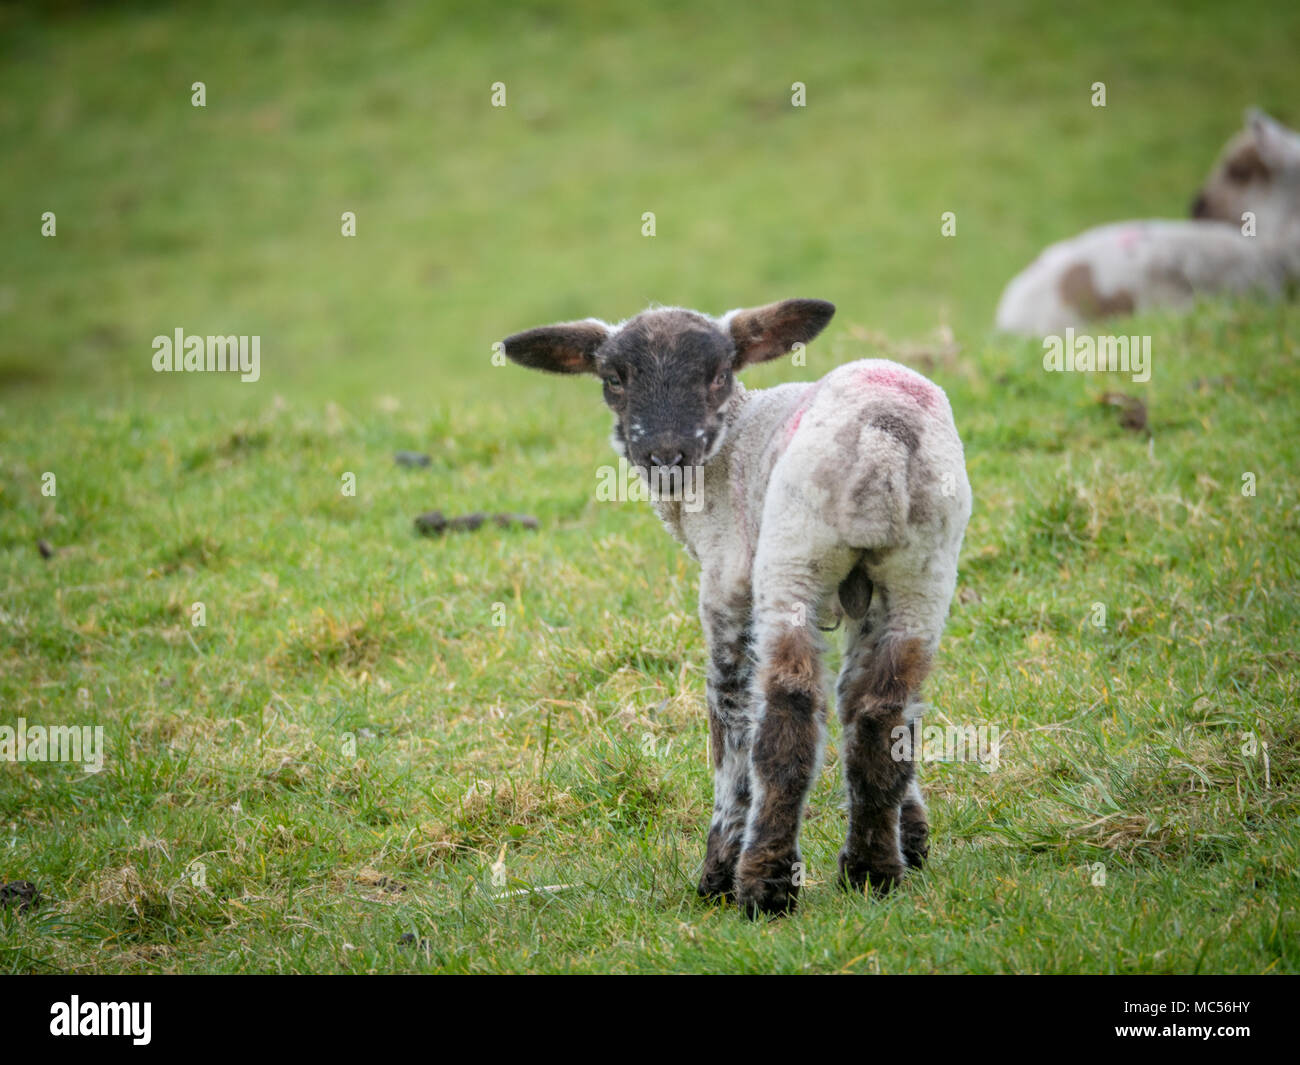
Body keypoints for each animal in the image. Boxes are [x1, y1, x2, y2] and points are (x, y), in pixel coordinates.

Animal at [503, 300, 972, 917]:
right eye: (613, 379)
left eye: (718, 374)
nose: (665, 456)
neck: (728, 447)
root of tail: (883, 440)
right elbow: (858, 702)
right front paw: (913, 837)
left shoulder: (727, 583)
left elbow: (730, 719)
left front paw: (718, 872)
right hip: (923, 569)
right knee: (883, 711)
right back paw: (871, 870)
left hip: (792, 557)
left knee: (786, 714)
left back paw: (762, 883)